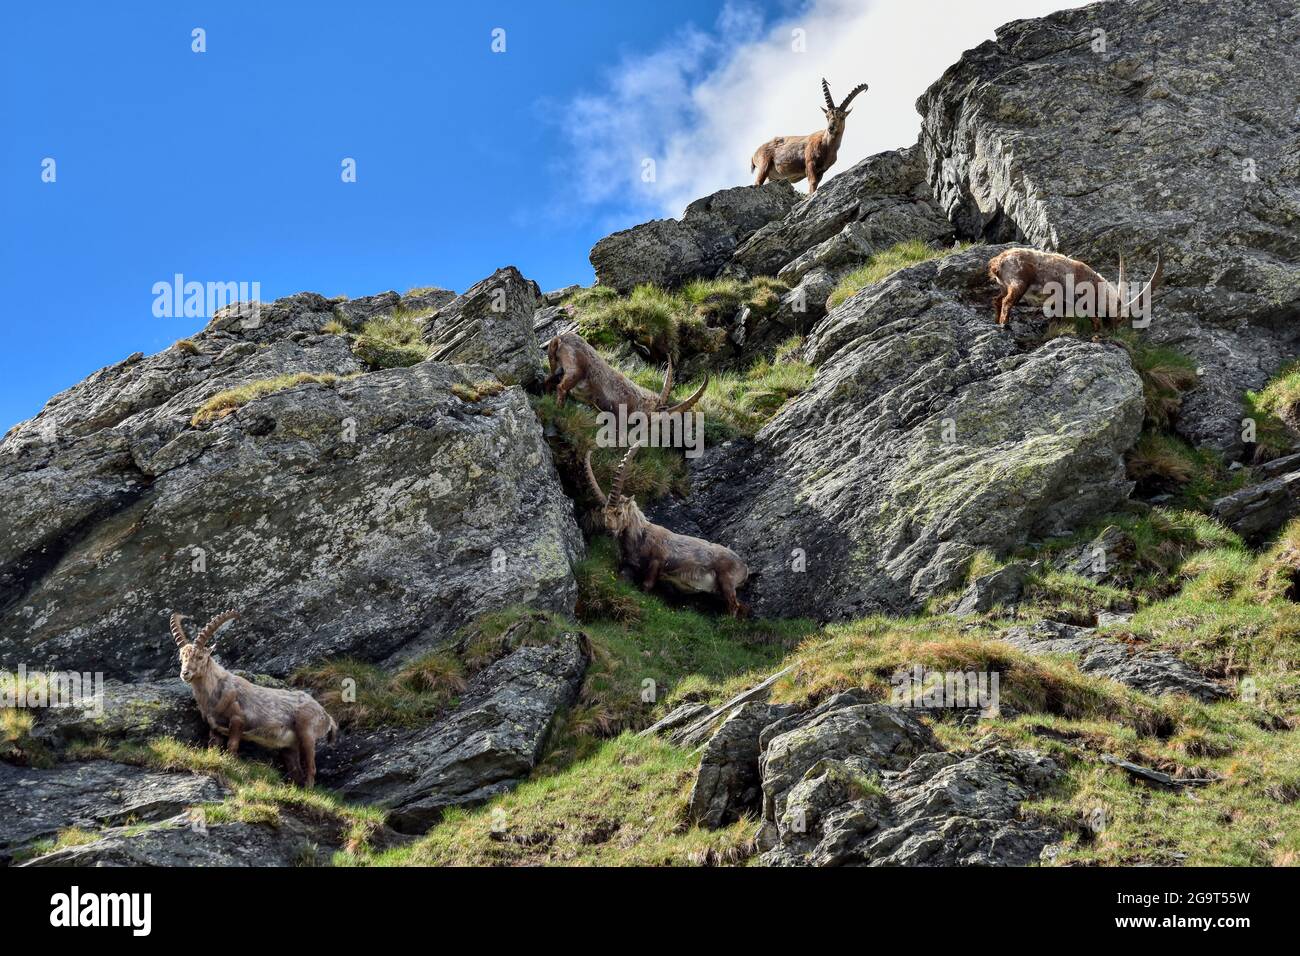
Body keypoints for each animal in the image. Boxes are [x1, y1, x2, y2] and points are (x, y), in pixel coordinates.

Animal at [171, 610, 338, 788]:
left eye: (200, 657)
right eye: (181, 658)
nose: (185, 673)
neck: (216, 691)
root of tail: (326, 716)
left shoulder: (238, 720)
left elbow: (232, 747)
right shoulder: (215, 728)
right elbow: (213, 748)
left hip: (307, 735)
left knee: (311, 768)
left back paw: (308, 788)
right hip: (290, 746)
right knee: (296, 771)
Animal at [545, 332, 707, 417]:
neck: (637, 399)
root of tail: (560, 339)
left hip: (556, 367)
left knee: (549, 381)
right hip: (576, 370)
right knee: (561, 387)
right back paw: (559, 409)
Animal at [584, 444, 749, 617]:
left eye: (619, 512)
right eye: (604, 513)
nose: (610, 532)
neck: (641, 537)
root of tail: (744, 567)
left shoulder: (658, 561)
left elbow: (647, 585)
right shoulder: (630, 565)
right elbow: (622, 578)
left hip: (726, 580)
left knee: (733, 606)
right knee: (742, 607)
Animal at [988, 248, 1163, 331]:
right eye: (1121, 319)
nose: (1114, 332)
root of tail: (997, 262)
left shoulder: (1060, 303)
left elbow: (1056, 318)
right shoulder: (1083, 301)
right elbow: (1094, 319)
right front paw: (1097, 332)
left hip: (1004, 286)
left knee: (997, 300)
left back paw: (996, 322)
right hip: (1018, 283)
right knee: (1007, 301)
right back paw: (1005, 324)